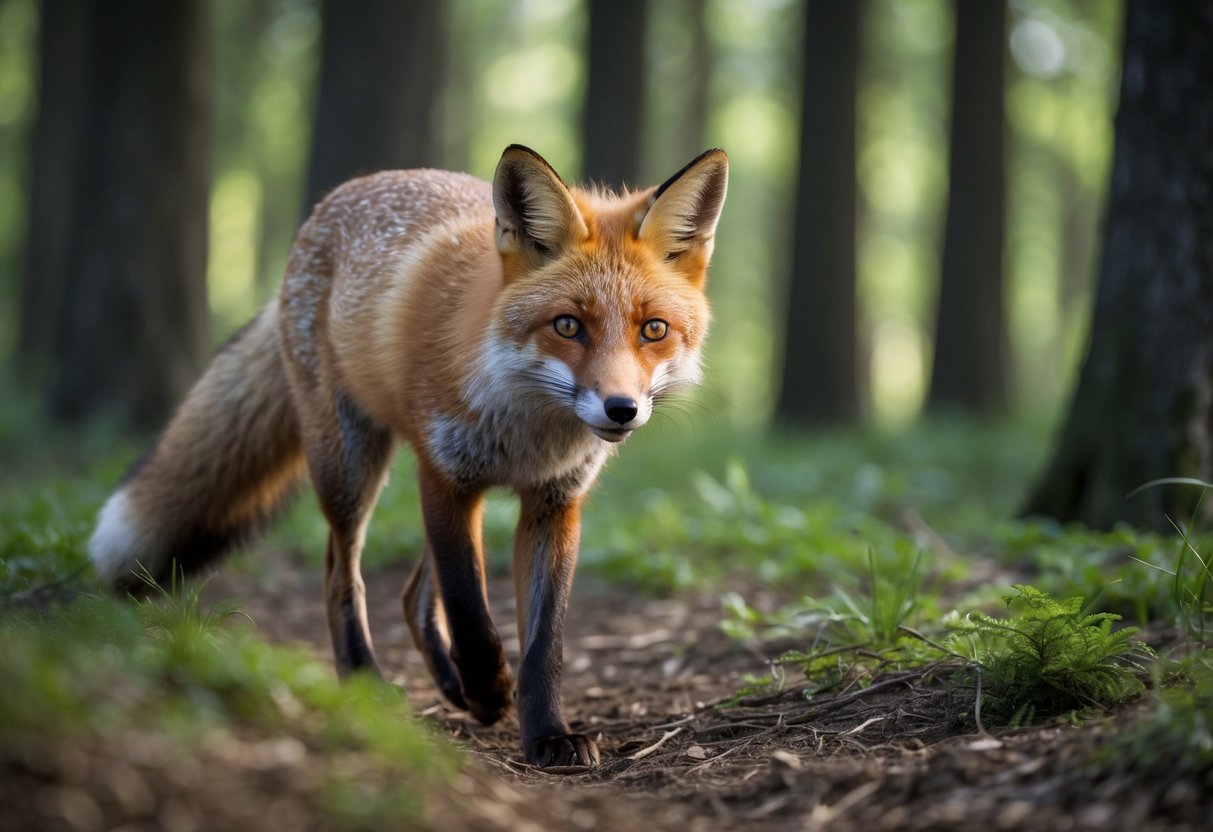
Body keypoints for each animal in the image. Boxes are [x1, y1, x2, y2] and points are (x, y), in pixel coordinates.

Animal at [89, 144, 728, 768]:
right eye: (568, 325)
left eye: (653, 330)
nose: (621, 410)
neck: (527, 429)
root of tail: (342, 194)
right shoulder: (445, 477)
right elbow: (470, 612)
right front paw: (490, 690)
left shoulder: (554, 502)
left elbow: (544, 643)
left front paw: (548, 733)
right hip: (350, 463)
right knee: (342, 572)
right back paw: (366, 679)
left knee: (412, 593)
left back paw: (448, 684)